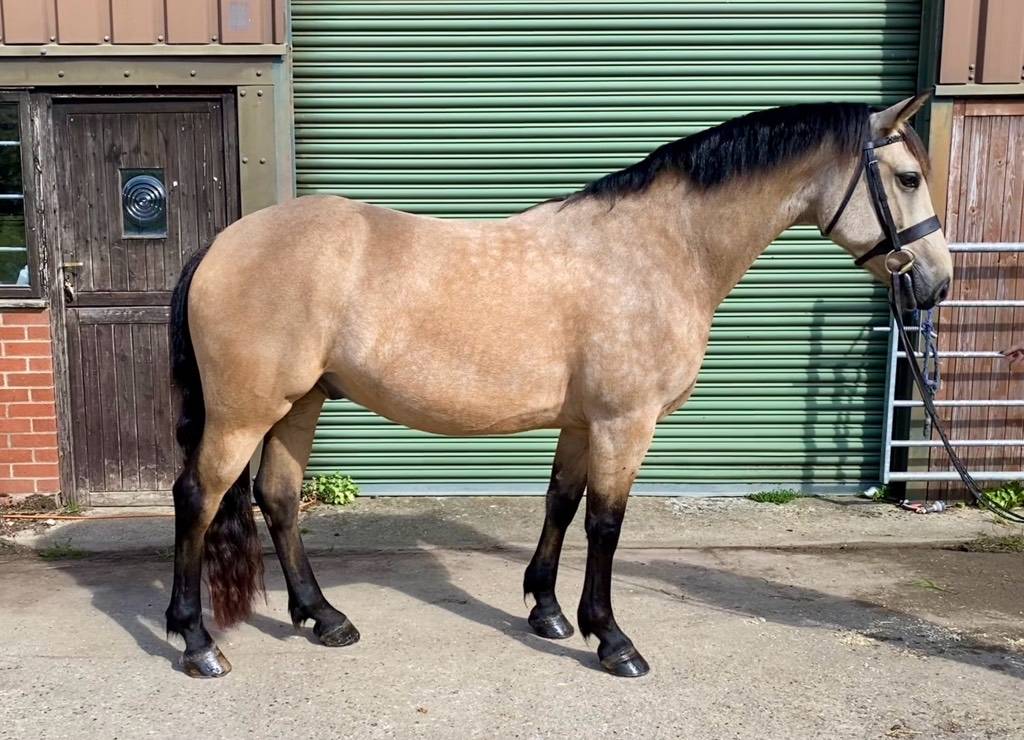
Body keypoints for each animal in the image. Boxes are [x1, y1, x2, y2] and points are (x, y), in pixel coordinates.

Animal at [165, 93, 952, 678]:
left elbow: (562, 504)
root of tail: (223, 243)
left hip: (299, 403)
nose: (937, 284)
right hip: (244, 411)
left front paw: (546, 611)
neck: (661, 248)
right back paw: (197, 642)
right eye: (909, 178)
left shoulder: (582, 423)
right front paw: (613, 639)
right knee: (198, 497)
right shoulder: (625, 423)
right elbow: (606, 524)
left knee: (277, 498)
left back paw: (323, 618)